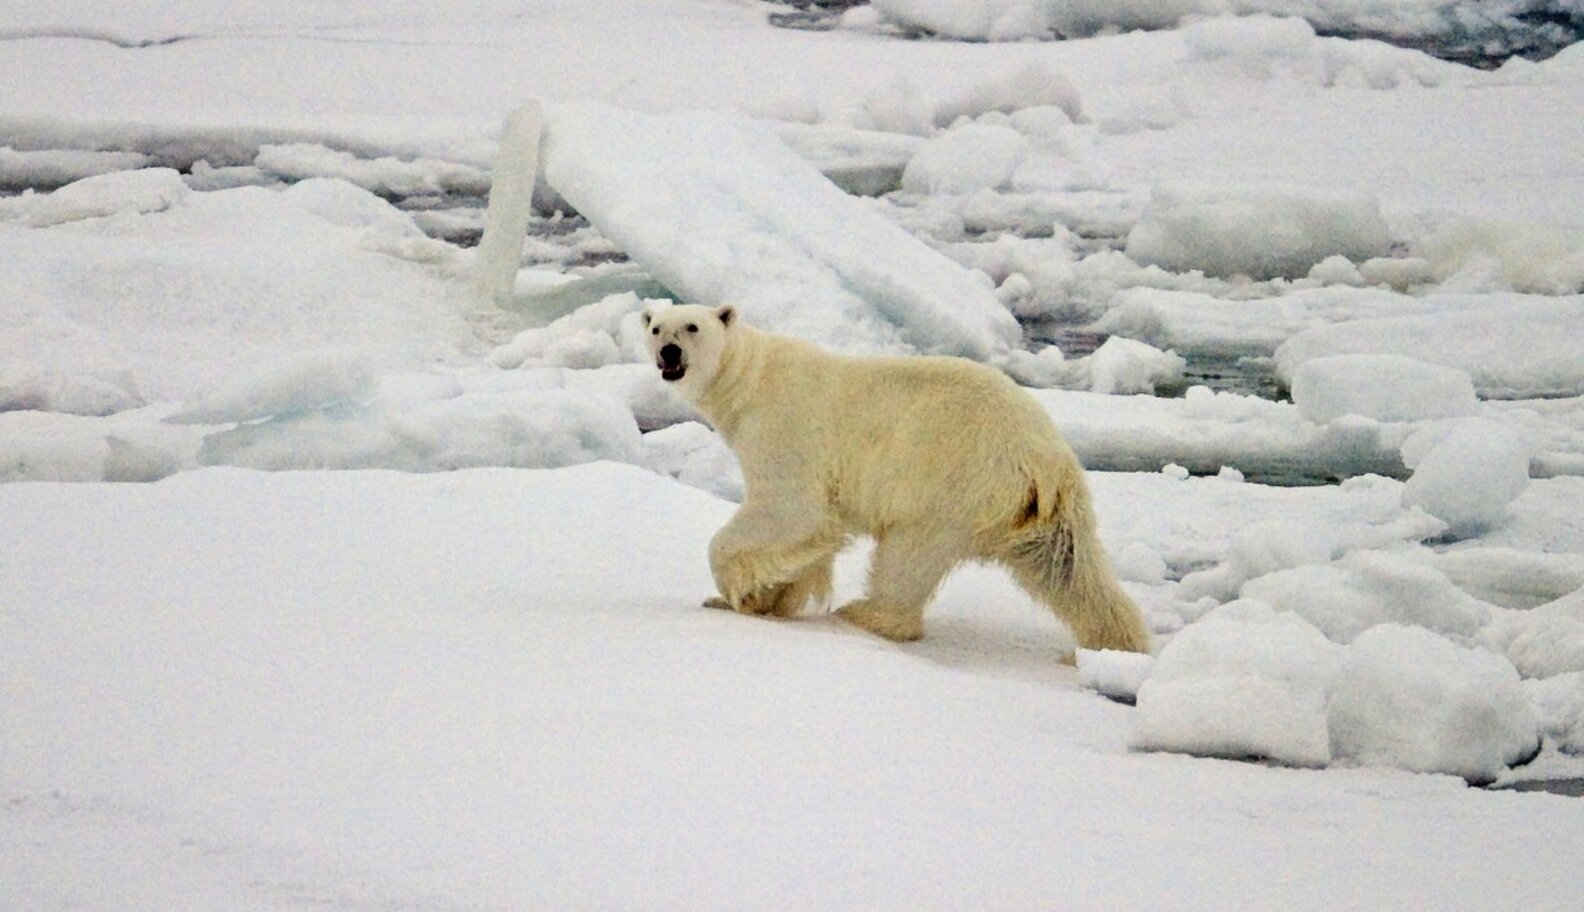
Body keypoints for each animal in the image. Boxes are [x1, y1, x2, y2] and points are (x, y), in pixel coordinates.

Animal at [642, 302, 1151, 655]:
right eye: (655, 327)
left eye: (692, 326)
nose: (669, 351)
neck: (750, 379)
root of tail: (1044, 457)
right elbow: (808, 538)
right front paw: (771, 597)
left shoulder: (785, 427)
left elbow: (792, 509)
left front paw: (740, 591)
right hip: (1043, 508)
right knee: (1070, 568)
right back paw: (1118, 640)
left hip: (952, 479)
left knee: (907, 555)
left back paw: (866, 615)